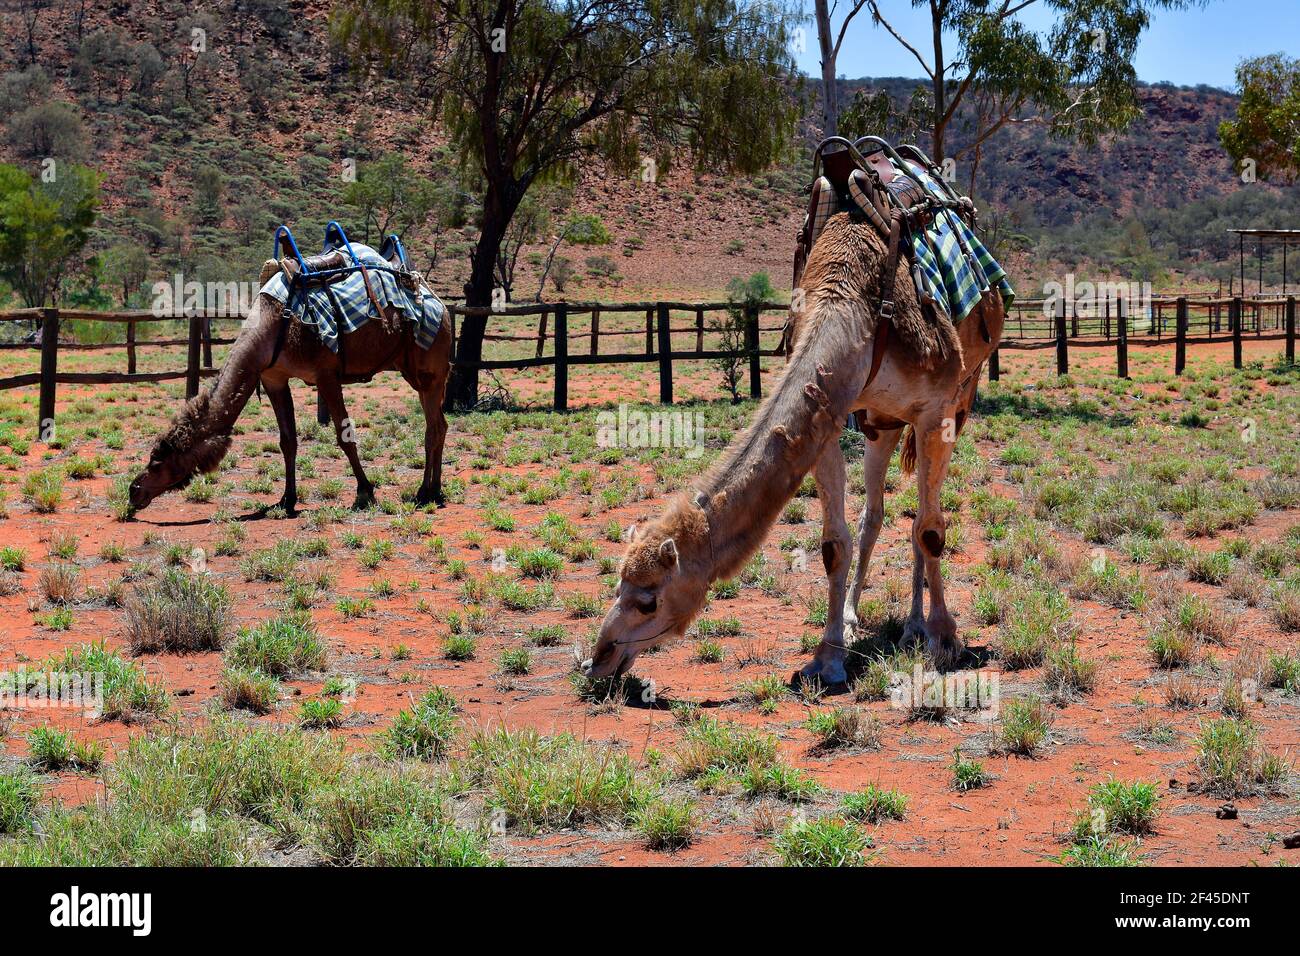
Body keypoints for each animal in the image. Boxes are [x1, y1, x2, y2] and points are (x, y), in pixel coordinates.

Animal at [128, 263, 453, 513]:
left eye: (158, 461)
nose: (134, 491)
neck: (270, 328)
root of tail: (442, 305)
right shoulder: (274, 378)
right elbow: (288, 441)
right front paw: (286, 499)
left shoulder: (326, 374)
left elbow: (344, 437)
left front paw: (364, 491)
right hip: (419, 373)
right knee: (441, 424)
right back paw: (435, 489)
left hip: (430, 370)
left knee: (433, 426)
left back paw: (424, 492)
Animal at [584, 211, 1005, 685]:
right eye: (617, 586)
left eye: (649, 601)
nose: (598, 659)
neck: (859, 312)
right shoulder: (830, 416)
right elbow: (835, 545)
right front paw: (829, 656)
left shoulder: (936, 410)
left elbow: (931, 530)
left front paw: (945, 638)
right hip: (881, 424)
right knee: (874, 514)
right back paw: (859, 616)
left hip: (960, 399)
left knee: (921, 516)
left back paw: (917, 625)